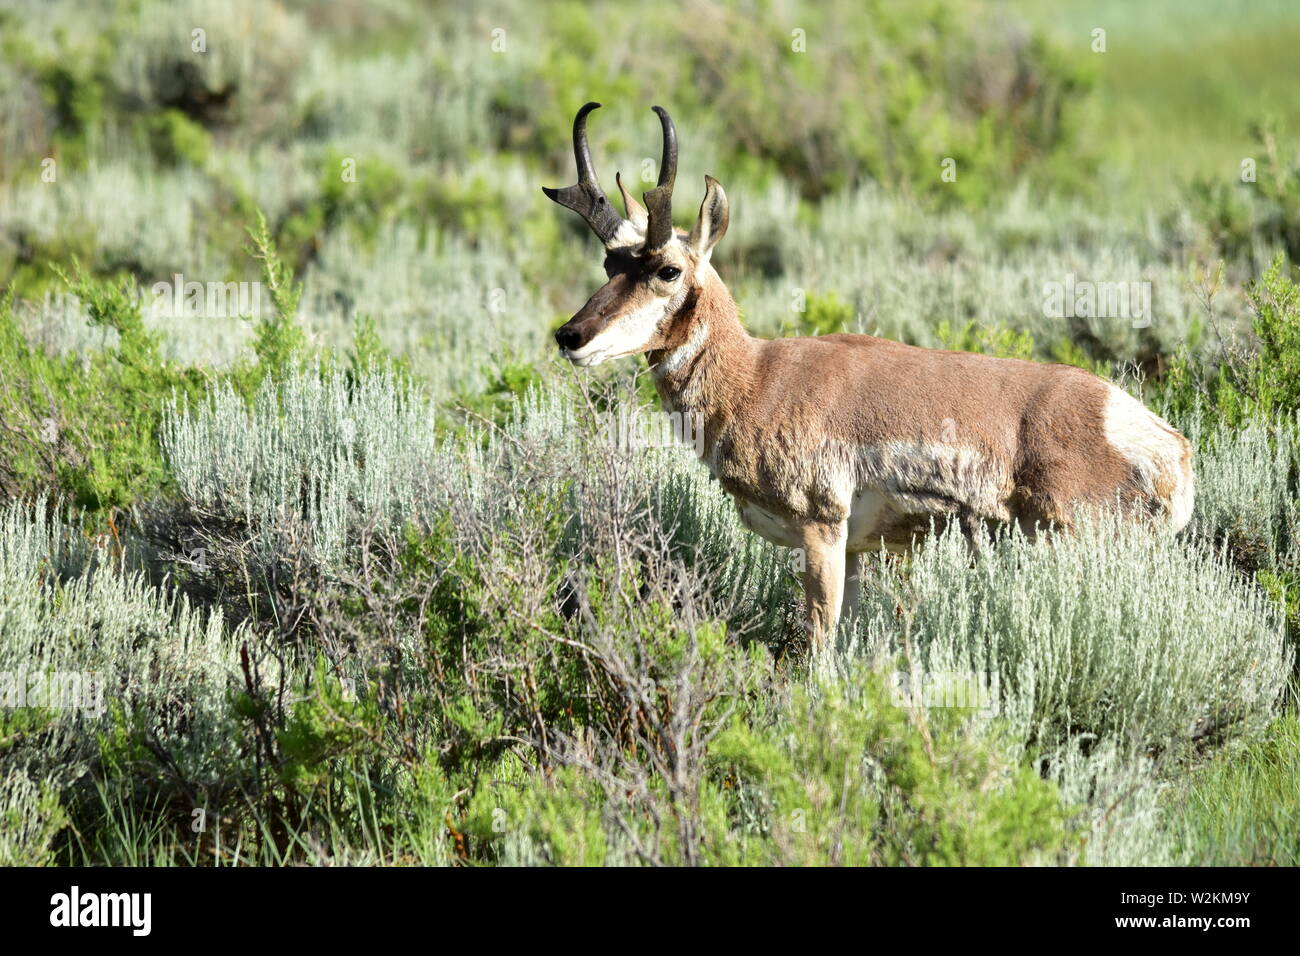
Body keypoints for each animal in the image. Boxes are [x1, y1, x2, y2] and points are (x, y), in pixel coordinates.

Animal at [543, 102, 1195, 647]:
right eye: (609, 262)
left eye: (669, 270)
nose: (570, 336)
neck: (757, 377)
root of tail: (1167, 444)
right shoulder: (857, 550)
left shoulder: (821, 531)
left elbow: (819, 642)